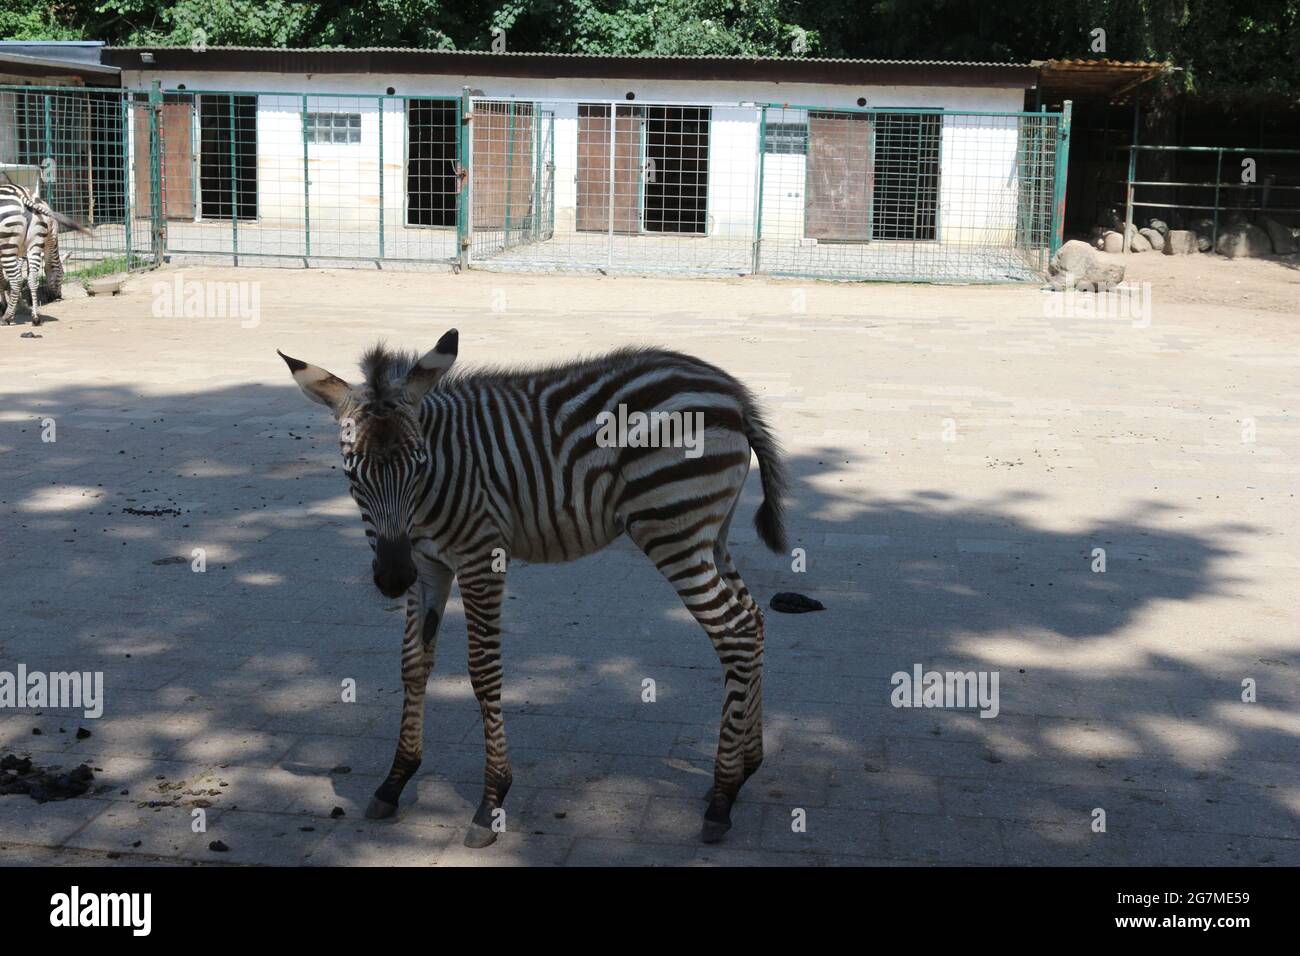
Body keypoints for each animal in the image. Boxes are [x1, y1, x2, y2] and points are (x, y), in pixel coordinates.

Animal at [1, 181, 82, 327]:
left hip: (10, 244)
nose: (58, 297)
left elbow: (4, 278)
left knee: (17, 279)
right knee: (32, 278)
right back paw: (35, 317)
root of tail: (24, 195)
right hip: (30, 244)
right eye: (62, 275)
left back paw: (7, 317)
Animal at [280, 330, 788, 847]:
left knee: (735, 632)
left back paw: (722, 796)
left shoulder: (480, 556)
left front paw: (491, 802)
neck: (443, 471)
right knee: (754, 621)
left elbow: (483, 671)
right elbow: (413, 664)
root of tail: (731, 392)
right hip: (712, 534)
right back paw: (745, 771)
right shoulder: (426, 564)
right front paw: (395, 780)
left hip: (674, 530)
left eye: (418, 466)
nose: (390, 579)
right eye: (350, 472)